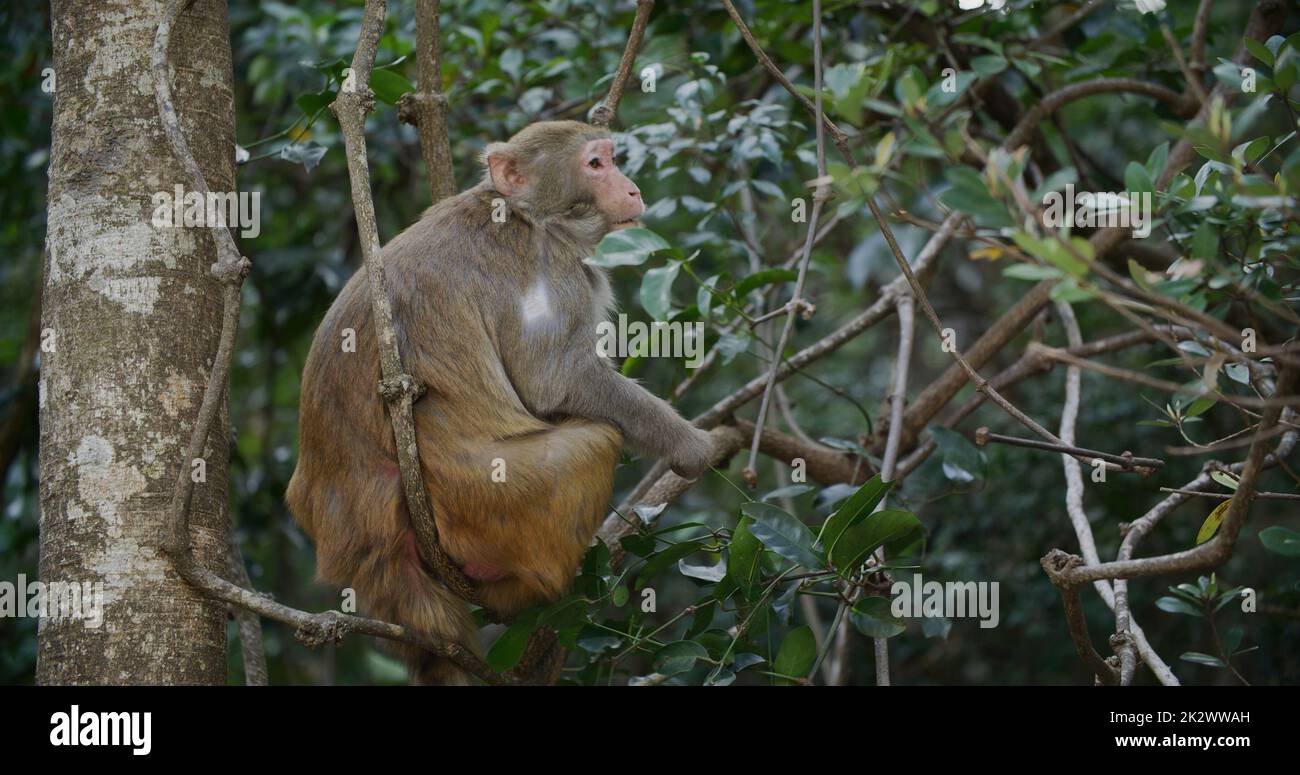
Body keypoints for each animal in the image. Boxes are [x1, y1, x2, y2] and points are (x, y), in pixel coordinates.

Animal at [286, 120, 717, 684]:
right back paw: (528, 592)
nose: (632, 189)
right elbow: (554, 381)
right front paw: (693, 447)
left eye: (612, 158)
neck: (522, 213)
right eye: (595, 164)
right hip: (489, 505)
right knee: (597, 441)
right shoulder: (550, 269)